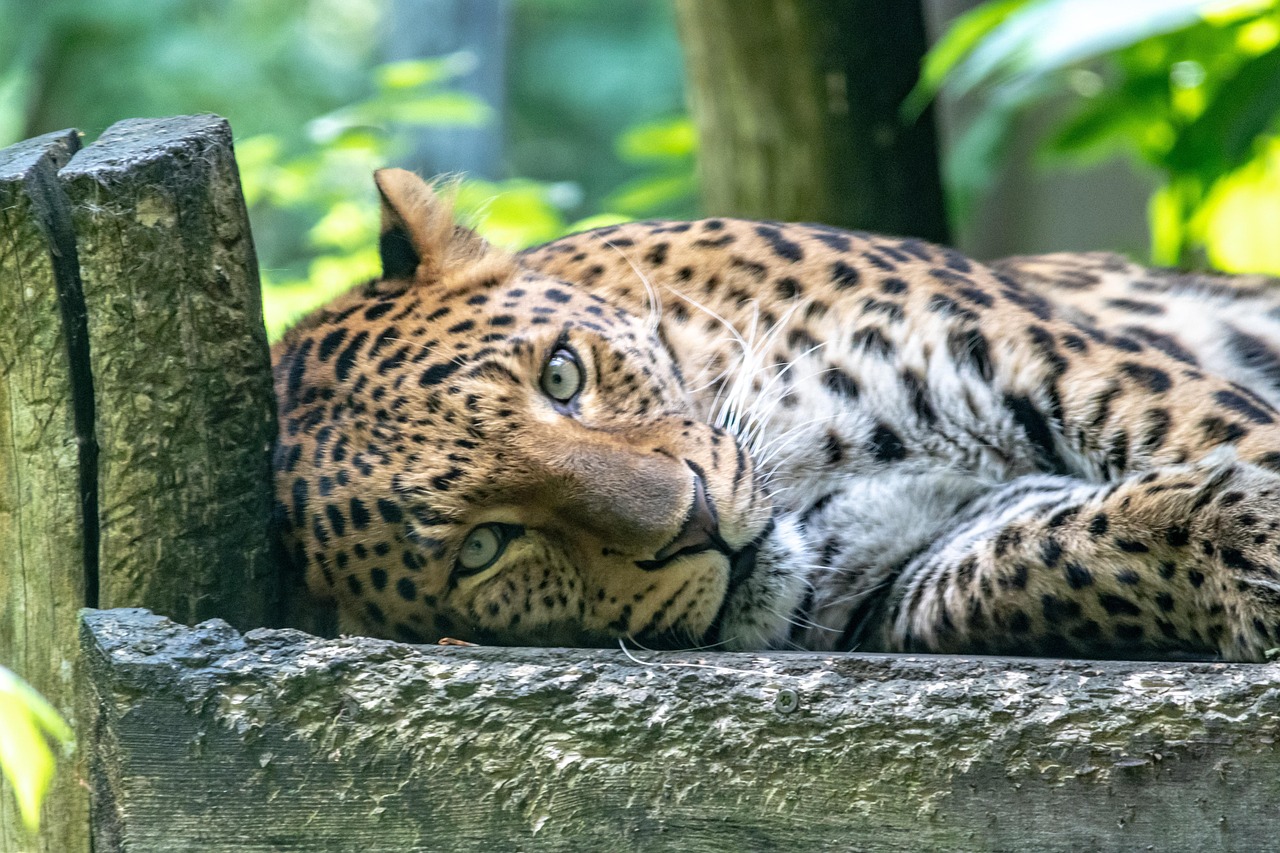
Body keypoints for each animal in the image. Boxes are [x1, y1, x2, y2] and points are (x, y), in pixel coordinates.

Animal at [272, 167, 1280, 661]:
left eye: (562, 376)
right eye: (482, 547)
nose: (694, 523)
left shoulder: (1053, 364)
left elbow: (1221, 435)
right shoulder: (902, 569)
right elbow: (1061, 551)